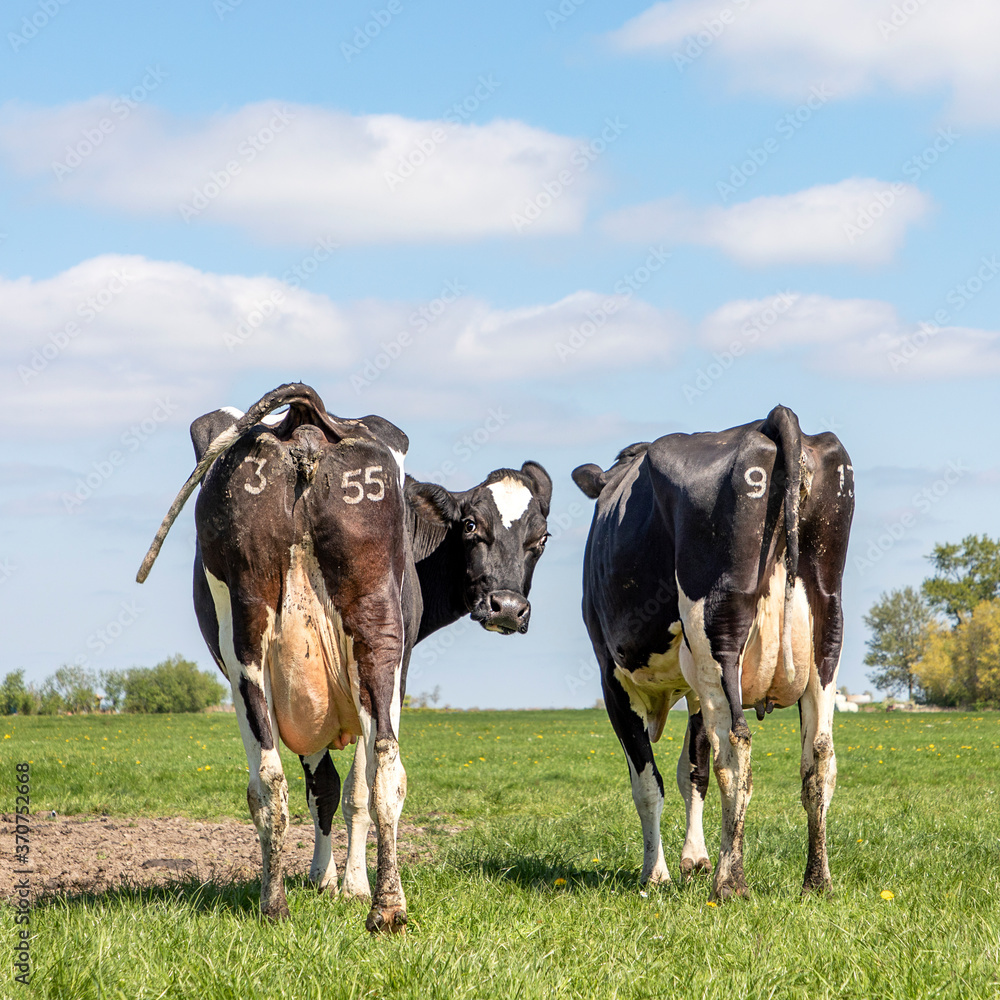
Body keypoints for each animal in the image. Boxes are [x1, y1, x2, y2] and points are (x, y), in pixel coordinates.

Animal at [137, 383, 551, 932]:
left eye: (540, 539)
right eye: (469, 525)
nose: (507, 607)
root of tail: (306, 418)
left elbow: (326, 786)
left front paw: (326, 879)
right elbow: (347, 788)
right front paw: (346, 883)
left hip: (254, 649)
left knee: (271, 780)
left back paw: (287, 906)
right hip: (377, 643)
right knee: (378, 775)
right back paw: (378, 903)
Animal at [571, 405, 853, 900]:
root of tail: (773, 419)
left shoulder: (611, 677)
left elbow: (649, 782)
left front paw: (657, 873)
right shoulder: (695, 688)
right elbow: (692, 772)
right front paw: (694, 860)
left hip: (717, 629)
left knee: (735, 749)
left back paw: (730, 882)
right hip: (826, 626)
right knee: (819, 755)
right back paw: (816, 881)